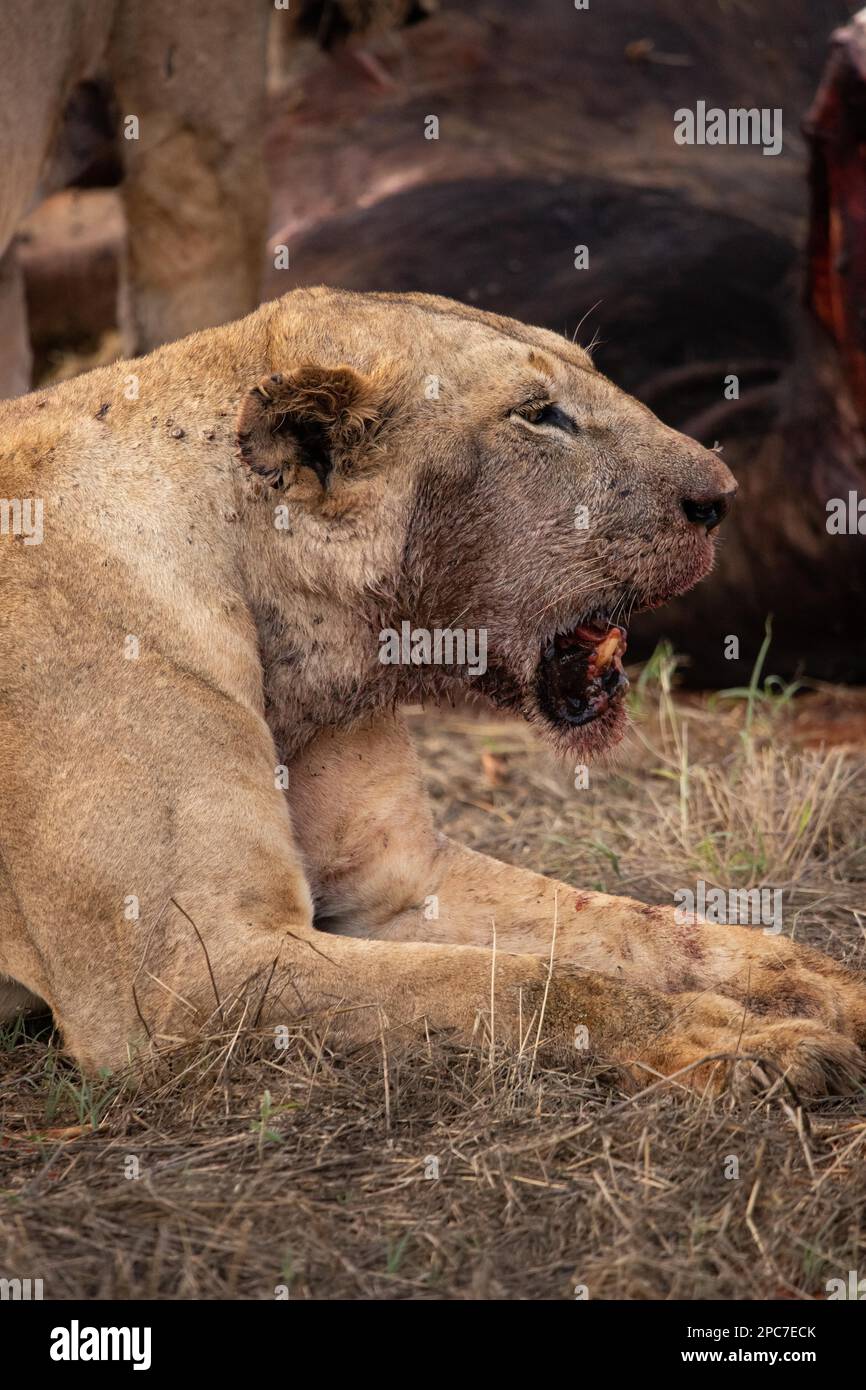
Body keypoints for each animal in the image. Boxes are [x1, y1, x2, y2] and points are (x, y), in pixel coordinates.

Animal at [2, 286, 865, 1097]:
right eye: (539, 416)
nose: (722, 498)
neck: (299, 663)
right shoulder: (180, 974)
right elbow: (532, 987)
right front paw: (732, 1040)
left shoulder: (405, 884)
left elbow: (656, 929)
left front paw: (833, 991)